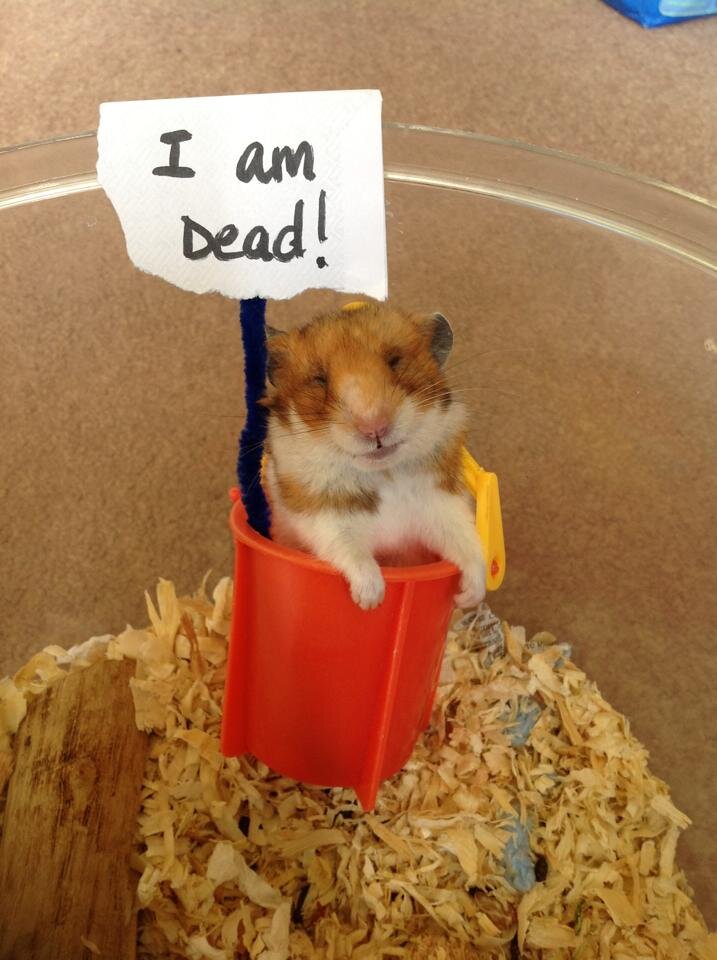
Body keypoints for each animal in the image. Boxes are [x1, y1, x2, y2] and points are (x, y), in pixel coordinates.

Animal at [261, 303, 486, 611]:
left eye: (395, 361)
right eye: (320, 380)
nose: (375, 428)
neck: (383, 473)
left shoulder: (439, 502)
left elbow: (464, 540)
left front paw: (468, 596)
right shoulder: (324, 516)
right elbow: (351, 550)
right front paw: (370, 601)